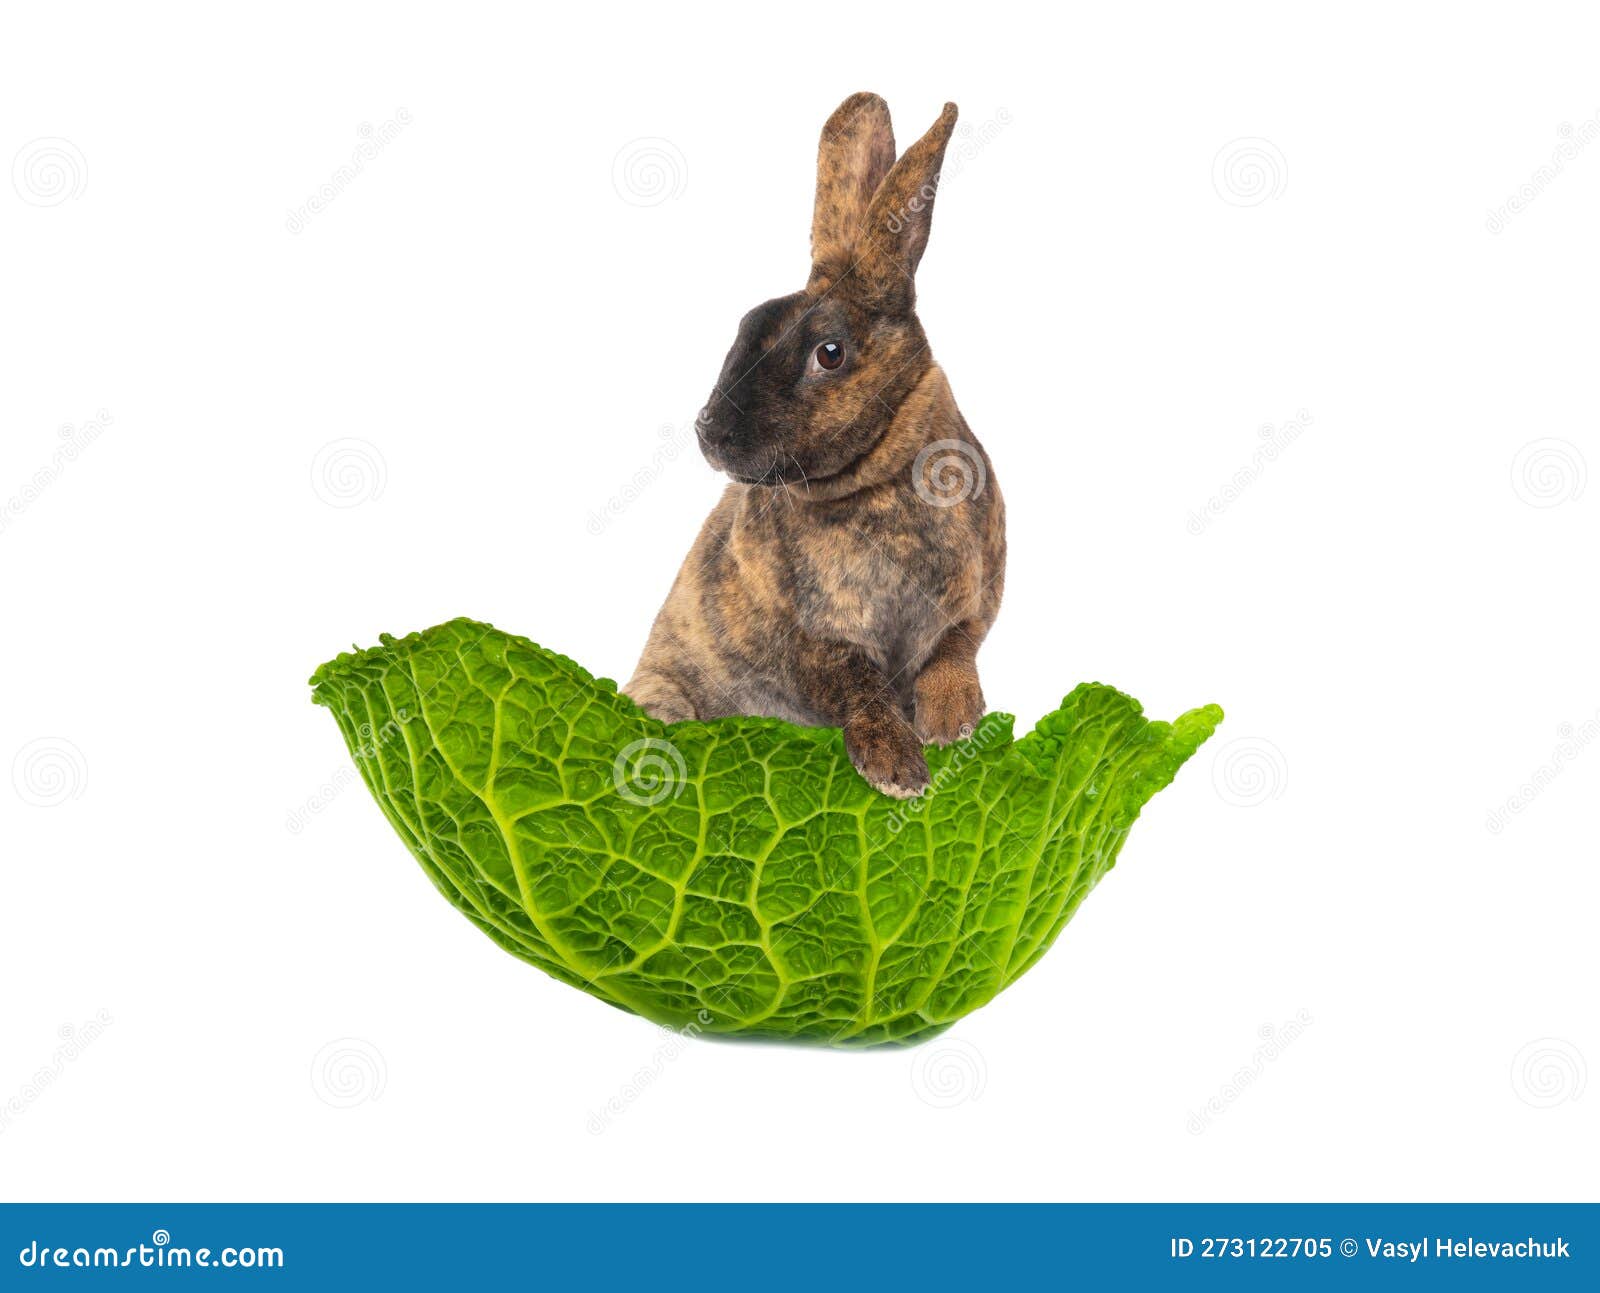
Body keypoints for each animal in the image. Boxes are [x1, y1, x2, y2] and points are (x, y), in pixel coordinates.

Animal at [623, 92, 1005, 799]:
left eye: (830, 353)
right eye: (744, 326)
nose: (710, 432)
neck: (876, 479)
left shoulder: (972, 604)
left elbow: (953, 653)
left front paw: (952, 724)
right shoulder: (814, 640)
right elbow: (858, 690)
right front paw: (900, 772)